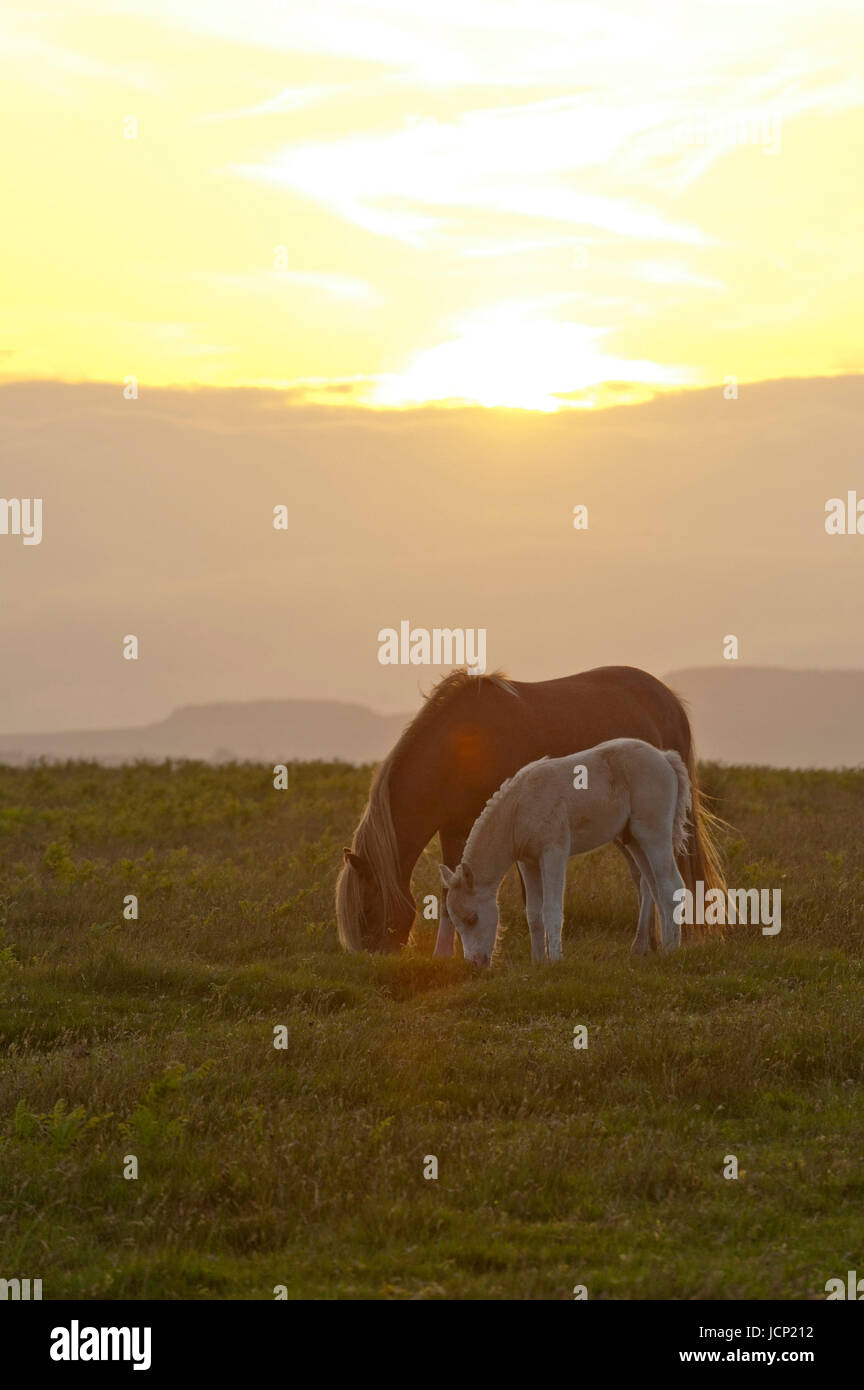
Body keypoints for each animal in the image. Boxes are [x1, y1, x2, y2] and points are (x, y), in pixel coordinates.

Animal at [439, 739, 691, 965]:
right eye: (457, 922)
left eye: (472, 918)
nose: (474, 964)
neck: (519, 807)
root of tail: (664, 757)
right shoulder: (528, 862)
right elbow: (533, 914)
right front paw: (538, 962)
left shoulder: (554, 853)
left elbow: (551, 909)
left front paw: (555, 961)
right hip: (634, 841)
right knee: (653, 887)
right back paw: (651, 947)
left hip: (653, 834)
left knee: (670, 886)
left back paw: (671, 950)